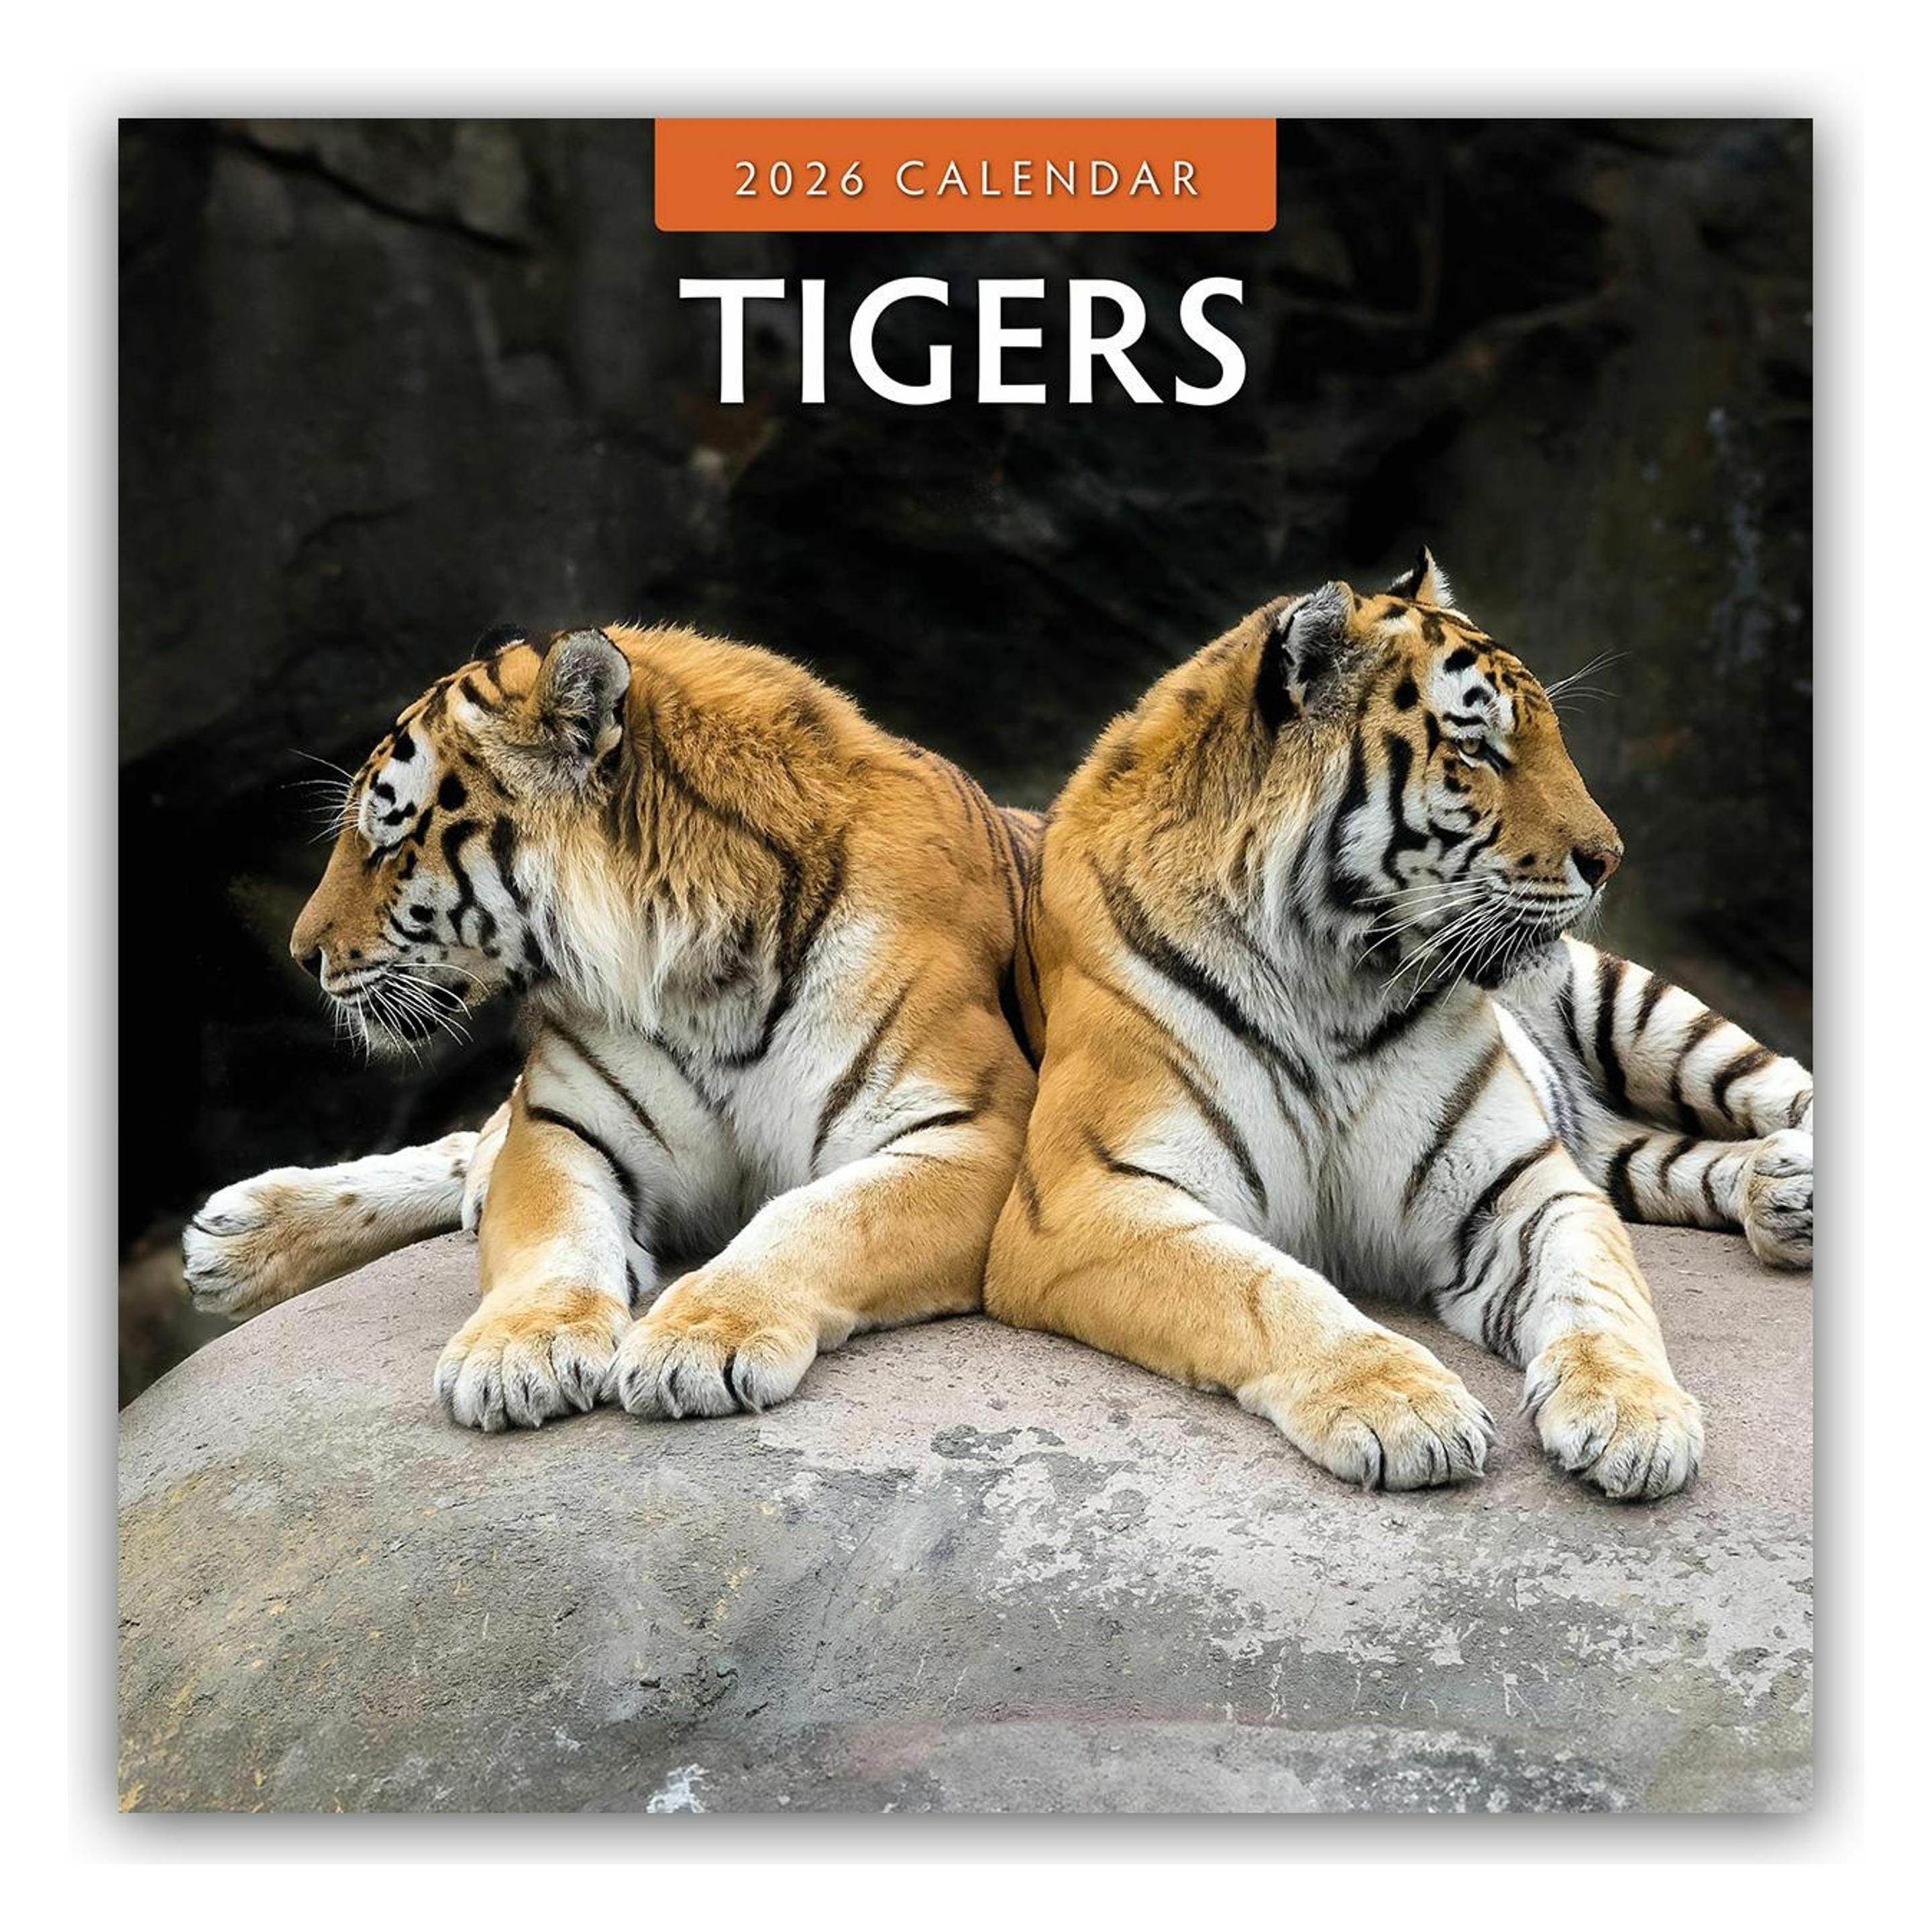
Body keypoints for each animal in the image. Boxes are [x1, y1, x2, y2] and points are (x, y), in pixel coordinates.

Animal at [183, 622, 1039, 1430]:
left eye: (388, 839)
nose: (303, 956)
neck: (702, 973)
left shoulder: (975, 1134)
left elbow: (816, 1219)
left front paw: (697, 1341)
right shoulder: (563, 1124)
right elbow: (553, 1235)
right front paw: (518, 1353)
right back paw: (239, 1234)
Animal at [984, 550, 1813, 1501]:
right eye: (1477, 747)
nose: (1609, 861)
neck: (1331, 980)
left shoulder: (1522, 1183)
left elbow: (1599, 1290)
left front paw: (1632, 1414)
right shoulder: (1089, 1194)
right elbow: (1262, 1289)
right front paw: (1407, 1408)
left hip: (1639, 1009)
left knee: (1782, 1091)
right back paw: (1778, 1193)